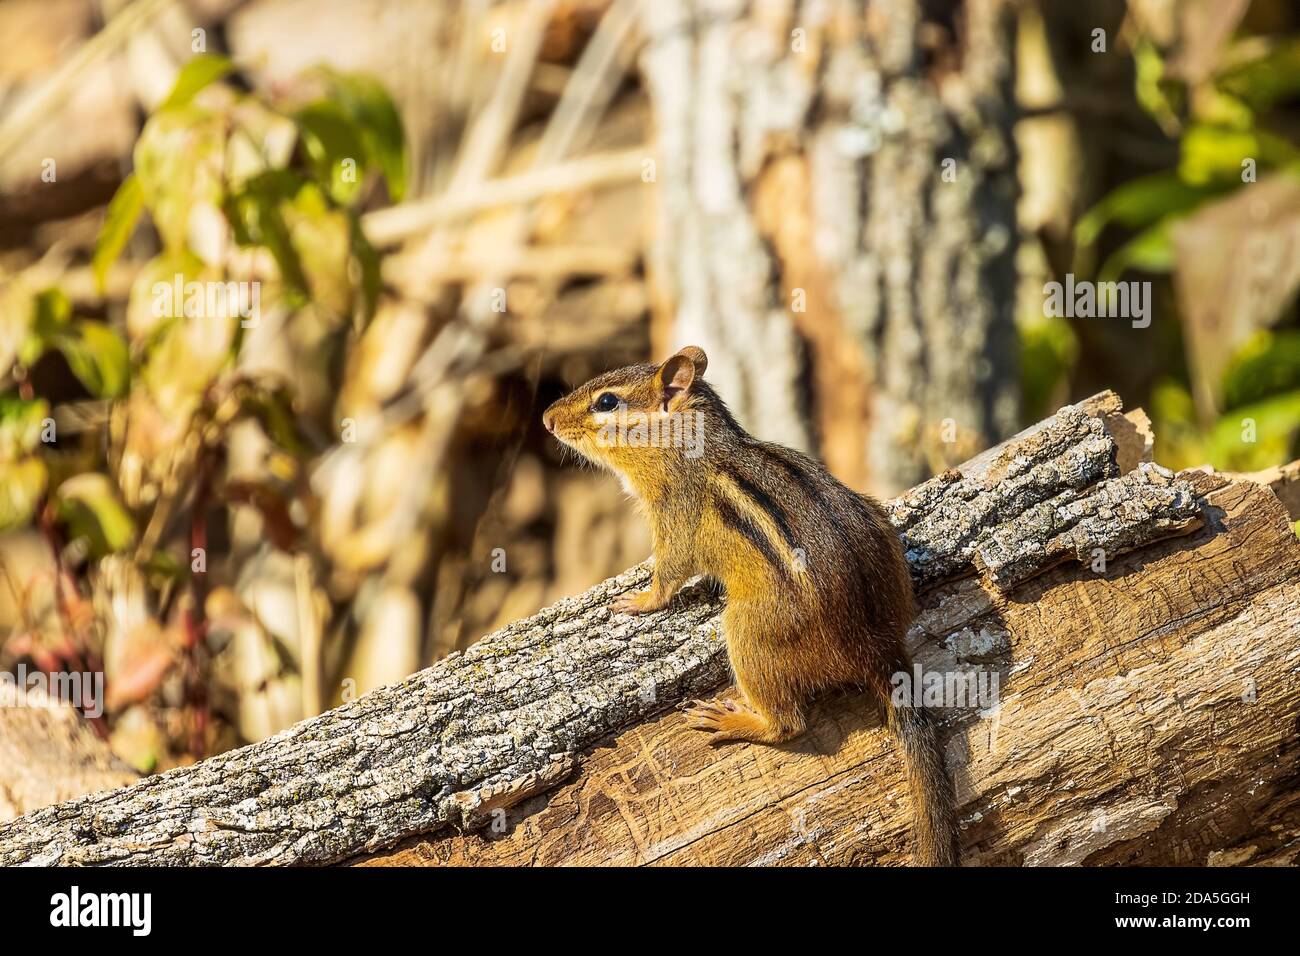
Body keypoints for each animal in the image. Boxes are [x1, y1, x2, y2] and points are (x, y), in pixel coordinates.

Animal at [543, 346, 959, 866]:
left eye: (606, 402)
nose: (546, 418)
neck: (692, 444)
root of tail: (877, 648)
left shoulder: (673, 517)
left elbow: (669, 573)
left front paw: (638, 601)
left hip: (748, 633)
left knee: (789, 725)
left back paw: (731, 719)